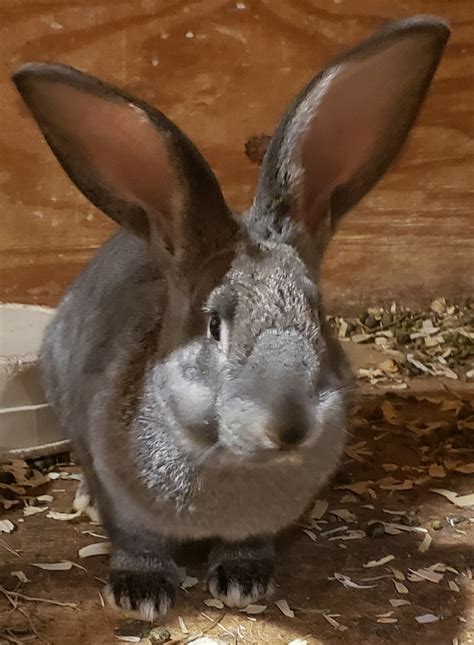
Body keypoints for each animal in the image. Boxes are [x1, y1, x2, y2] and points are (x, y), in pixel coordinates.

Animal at [12, 16, 449, 620]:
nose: (289, 425)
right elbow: (136, 541)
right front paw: (142, 594)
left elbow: (248, 544)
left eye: (318, 312)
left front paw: (243, 581)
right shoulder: (124, 501)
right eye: (214, 324)